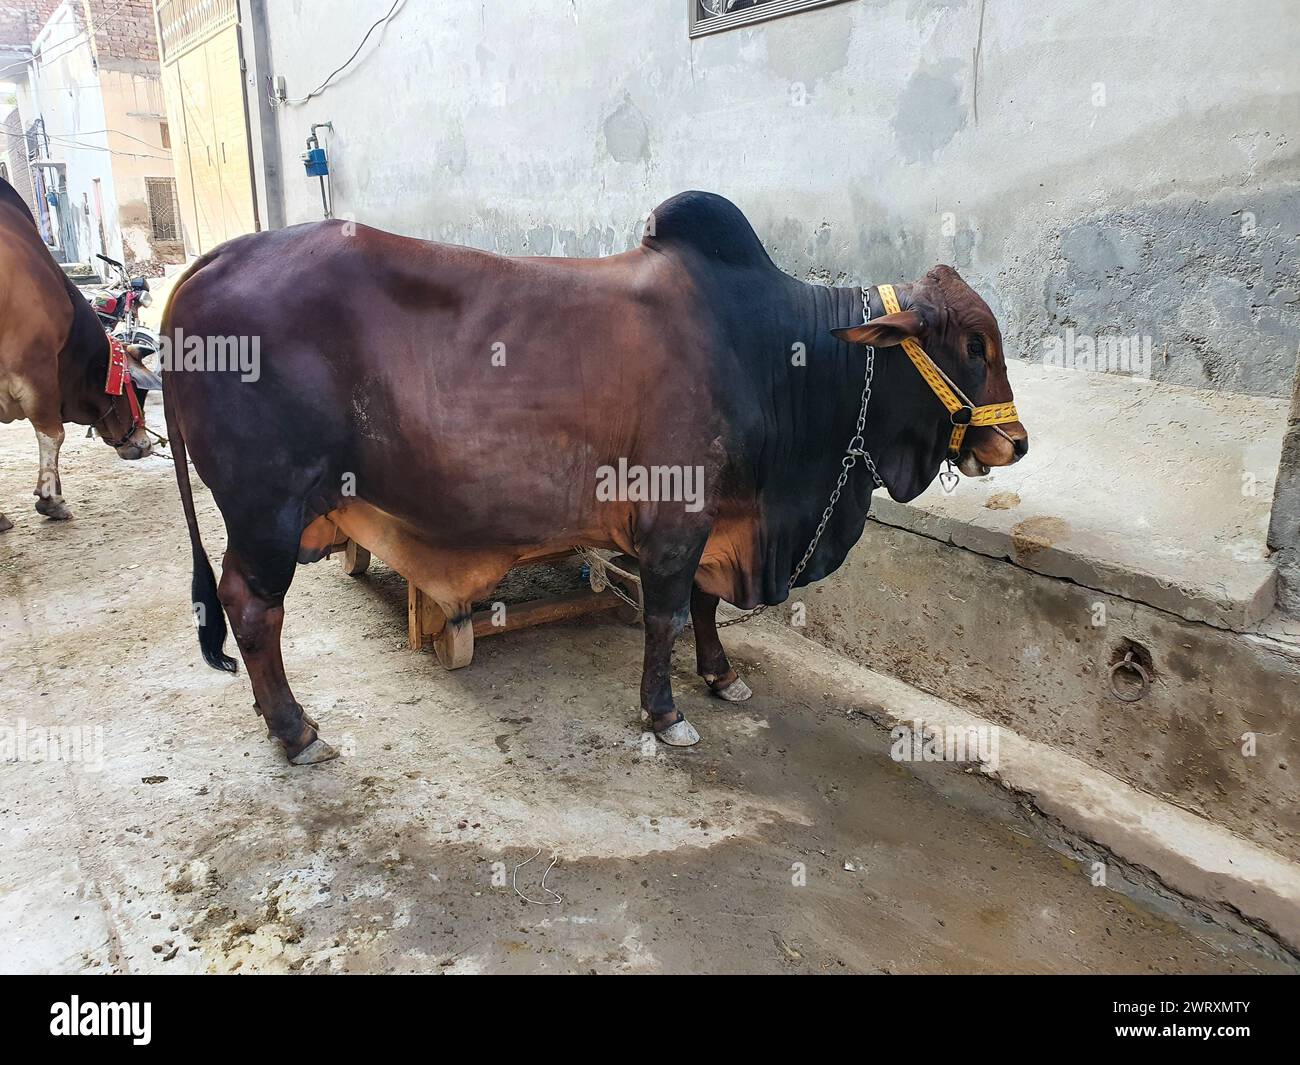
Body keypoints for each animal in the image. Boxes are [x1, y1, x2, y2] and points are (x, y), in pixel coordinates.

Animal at [163, 191, 1027, 765]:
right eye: (973, 345)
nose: (1015, 441)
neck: (771, 347)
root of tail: (211, 261)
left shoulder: (718, 513)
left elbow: (703, 605)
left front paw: (722, 675)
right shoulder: (678, 514)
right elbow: (667, 614)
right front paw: (665, 711)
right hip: (265, 510)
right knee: (253, 607)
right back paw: (296, 730)